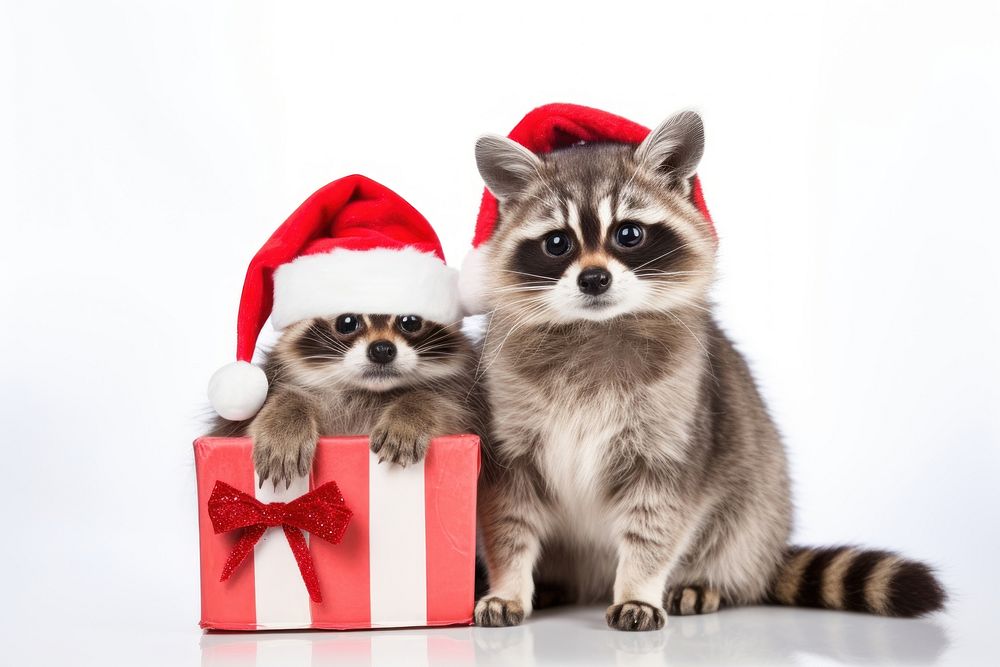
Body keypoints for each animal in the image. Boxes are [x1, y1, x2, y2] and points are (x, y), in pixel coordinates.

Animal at [210, 313, 486, 487]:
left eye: (411, 322)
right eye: (347, 322)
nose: (382, 350)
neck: (367, 391)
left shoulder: (465, 401)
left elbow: (439, 400)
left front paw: (408, 415)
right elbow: (286, 396)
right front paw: (284, 424)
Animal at [470, 111, 946, 630]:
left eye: (628, 234)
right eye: (557, 243)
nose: (594, 279)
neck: (595, 327)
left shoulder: (676, 426)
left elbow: (656, 520)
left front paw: (638, 587)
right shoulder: (507, 430)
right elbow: (507, 518)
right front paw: (509, 584)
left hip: (754, 507)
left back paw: (706, 582)